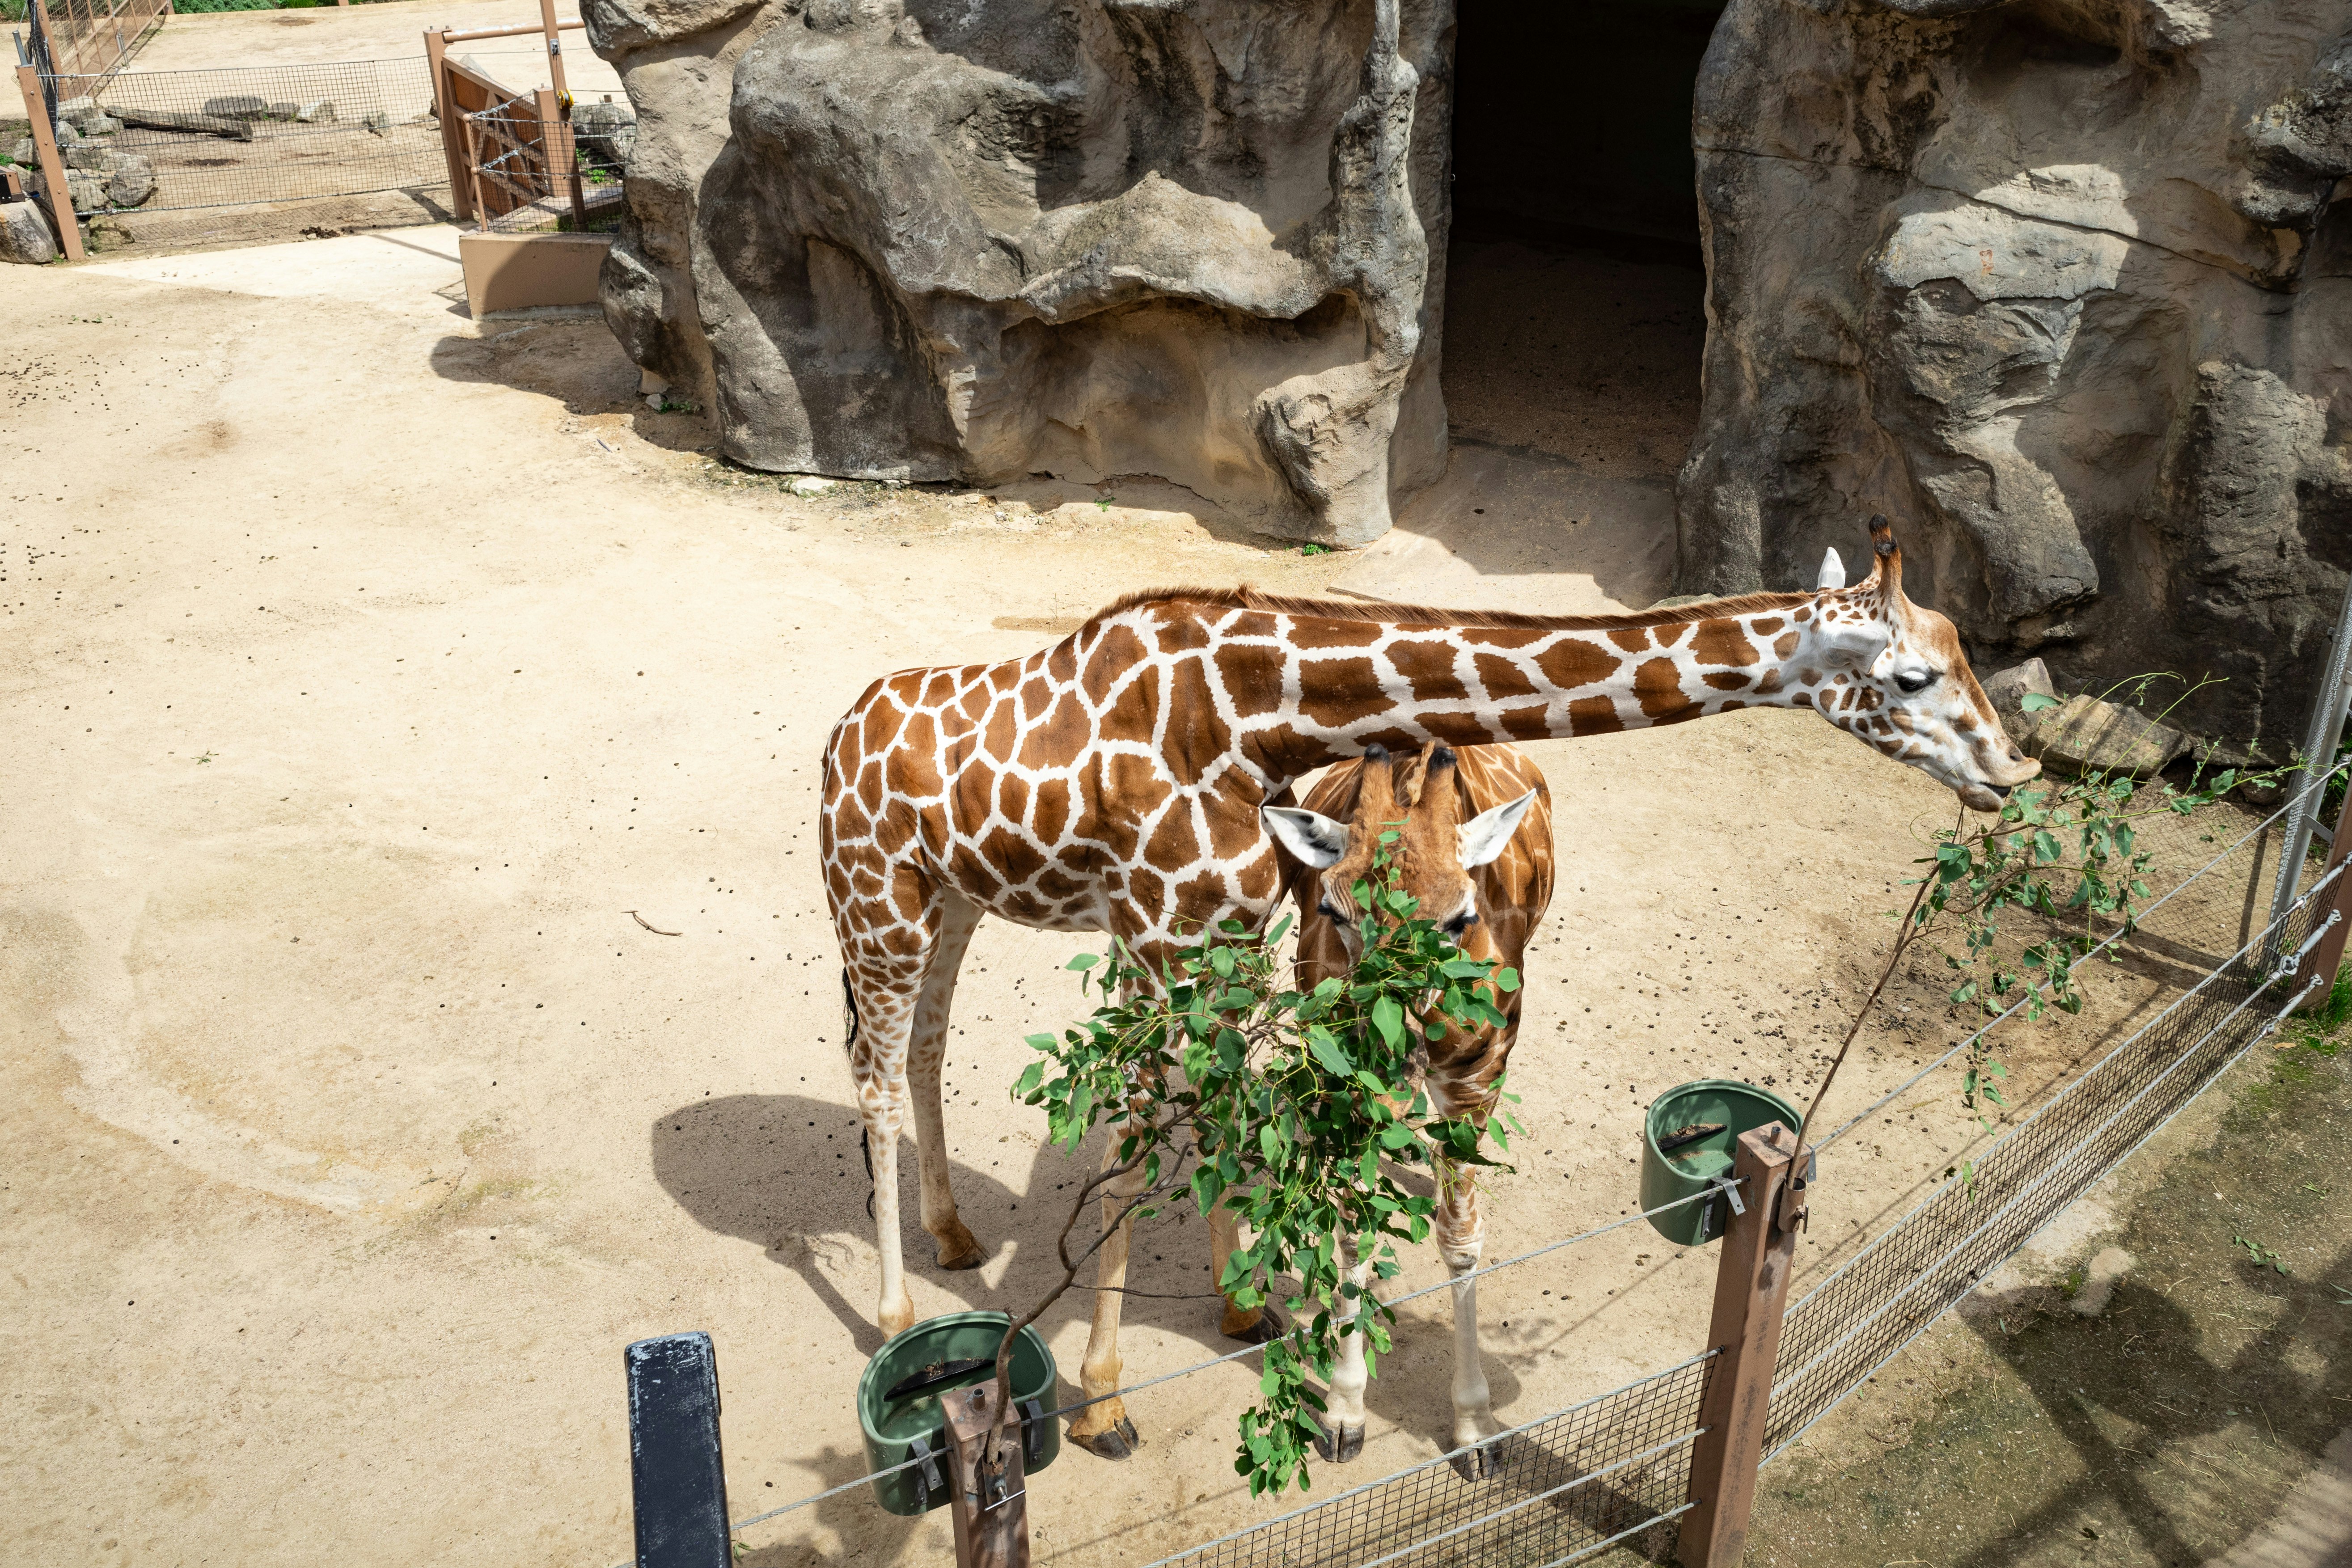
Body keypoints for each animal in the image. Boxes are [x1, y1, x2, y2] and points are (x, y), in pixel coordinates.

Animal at [1263, 738, 1552, 1472]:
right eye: (1334, 912)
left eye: (1460, 919)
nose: (1397, 1051)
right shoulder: (1348, 1086)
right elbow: (1354, 1227)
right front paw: (1344, 1413)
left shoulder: (1475, 1080)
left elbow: (1460, 1238)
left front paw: (1475, 1429)